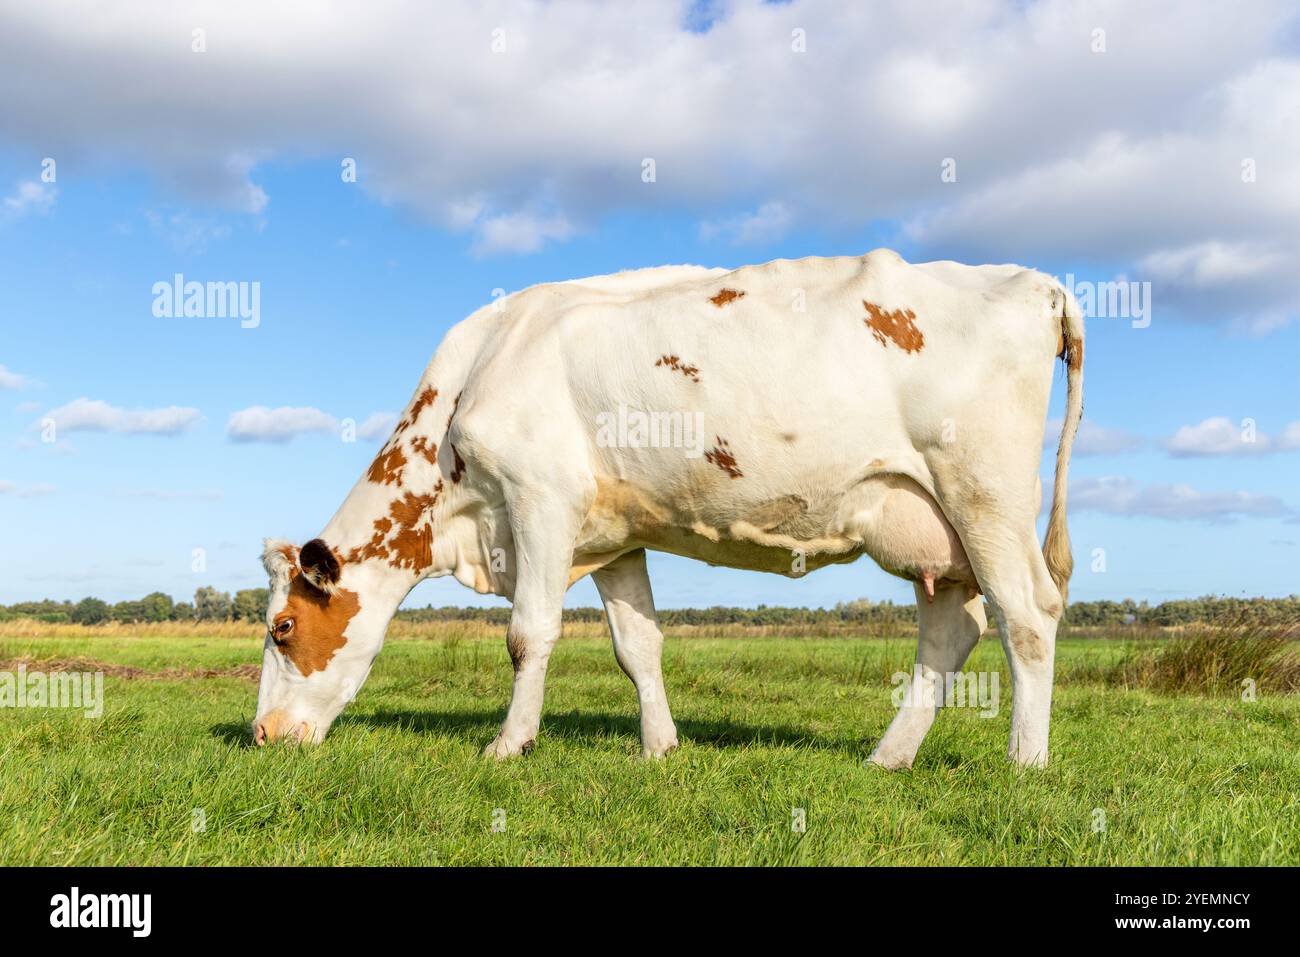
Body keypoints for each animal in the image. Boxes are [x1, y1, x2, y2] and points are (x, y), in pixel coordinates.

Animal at [253, 248, 1084, 769]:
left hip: (984, 493)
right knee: (953, 630)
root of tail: (1037, 284)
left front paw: (509, 743)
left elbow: (528, 634)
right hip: (929, 526)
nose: (260, 733)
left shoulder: (539, 495)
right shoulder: (615, 533)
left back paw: (1026, 760)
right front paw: (658, 746)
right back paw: (888, 755)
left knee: (1027, 616)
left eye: (283, 627)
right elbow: (637, 644)